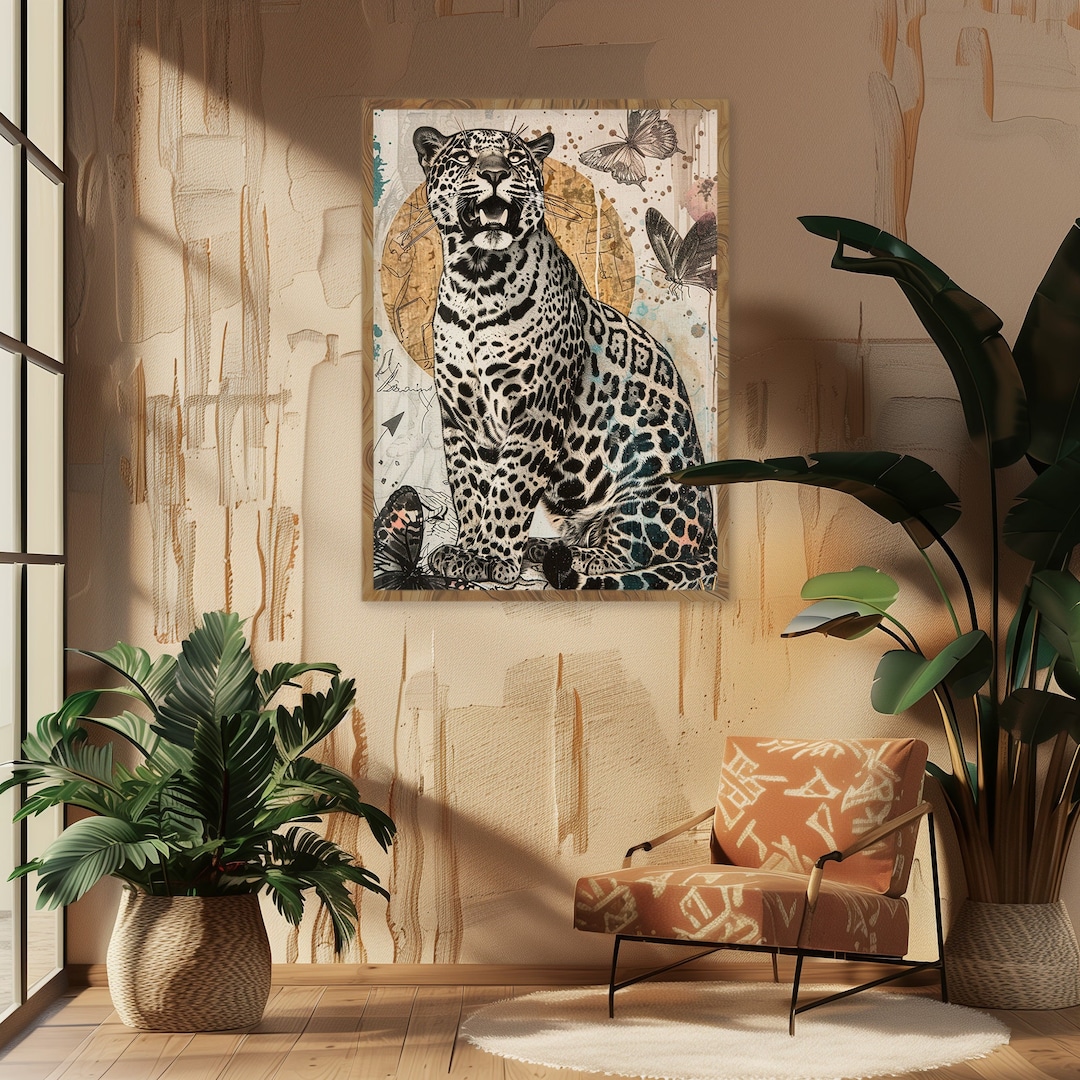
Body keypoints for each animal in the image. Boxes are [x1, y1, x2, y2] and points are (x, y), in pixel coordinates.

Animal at [412, 123, 717, 590]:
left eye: (515, 158)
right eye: (463, 156)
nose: (495, 173)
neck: (477, 281)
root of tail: (712, 532)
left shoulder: (536, 411)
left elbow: (509, 489)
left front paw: (492, 558)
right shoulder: (462, 419)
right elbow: (470, 489)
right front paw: (467, 551)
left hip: (643, 492)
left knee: (628, 552)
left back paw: (574, 557)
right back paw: (541, 548)